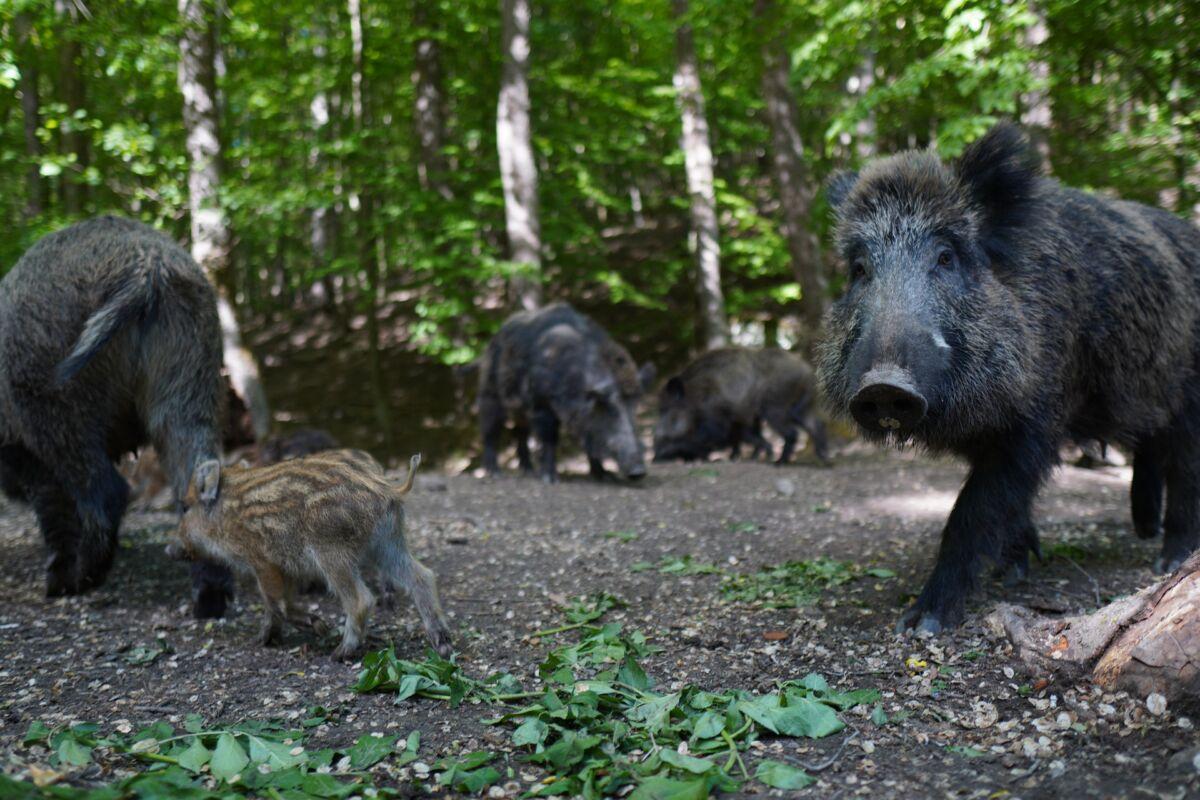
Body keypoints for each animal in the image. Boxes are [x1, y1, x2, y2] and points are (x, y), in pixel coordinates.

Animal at [0, 216, 232, 615]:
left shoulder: (23, 451)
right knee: (200, 476)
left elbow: (53, 508)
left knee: (107, 491)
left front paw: (56, 581)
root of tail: (147, 267)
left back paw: (78, 581)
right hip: (190, 380)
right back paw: (210, 602)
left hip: (55, 403)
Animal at [168, 449, 452, 659]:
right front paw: (262, 640)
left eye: (184, 508)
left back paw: (340, 652)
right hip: (388, 544)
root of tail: (387, 489)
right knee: (422, 577)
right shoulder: (287, 566)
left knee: (361, 599)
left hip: (332, 554)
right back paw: (443, 644)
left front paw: (317, 626)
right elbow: (276, 605)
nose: (170, 549)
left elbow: (275, 602)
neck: (225, 513)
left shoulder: (262, 560)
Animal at [478, 303, 655, 482]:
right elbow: (549, 438)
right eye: (605, 406)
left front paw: (604, 476)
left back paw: (528, 471)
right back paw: (494, 473)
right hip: (489, 392)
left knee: (520, 432)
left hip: (520, 410)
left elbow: (589, 441)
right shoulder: (541, 403)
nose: (638, 471)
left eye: (635, 406)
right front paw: (550, 480)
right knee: (490, 429)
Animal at [653, 348, 829, 465]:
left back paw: (779, 462)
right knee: (816, 424)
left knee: (792, 432)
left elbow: (712, 437)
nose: (655, 457)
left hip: (775, 406)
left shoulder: (716, 416)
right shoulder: (740, 419)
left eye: (665, 409)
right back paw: (825, 459)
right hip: (801, 406)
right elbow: (740, 438)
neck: (695, 398)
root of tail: (806, 372)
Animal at [818, 122, 1200, 634]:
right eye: (859, 269)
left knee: (1184, 465)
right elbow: (1010, 509)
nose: (884, 385)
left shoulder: (1038, 418)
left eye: (946, 257)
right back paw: (1143, 530)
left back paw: (1169, 560)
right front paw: (1014, 571)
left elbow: (972, 511)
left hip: (1188, 389)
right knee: (1151, 446)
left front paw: (921, 623)